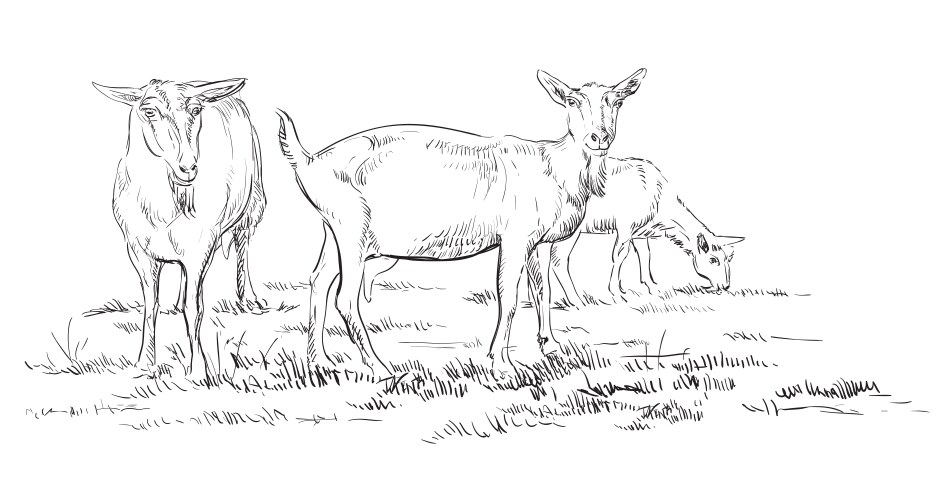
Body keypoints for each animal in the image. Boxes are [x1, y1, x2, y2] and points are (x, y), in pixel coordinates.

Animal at [93, 78, 266, 379]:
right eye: (149, 111)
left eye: (196, 110)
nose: (188, 167)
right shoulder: (138, 250)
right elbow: (151, 305)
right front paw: (145, 362)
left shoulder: (202, 247)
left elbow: (194, 308)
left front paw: (197, 368)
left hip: (252, 200)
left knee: (243, 243)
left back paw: (248, 299)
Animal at [276, 69, 646, 376]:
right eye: (572, 100)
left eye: (618, 101)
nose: (599, 137)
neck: (554, 167)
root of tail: (308, 161)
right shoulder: (514, 237)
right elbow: (508, 297)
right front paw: (501, 363)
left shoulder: (539, 242)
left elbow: (542, 290)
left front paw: (550, 346)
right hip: (352, 229)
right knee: (345, 297)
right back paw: (379, 368)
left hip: (334, 230)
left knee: (319, 280)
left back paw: (319, 360)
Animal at [550, 157, 742, 303]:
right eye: (713, 260)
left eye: (729, 258)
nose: (726, 286)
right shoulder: (625, 227)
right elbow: (619, 256)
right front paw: (616, 291)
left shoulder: (640, 233)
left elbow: (645, 255)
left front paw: (652, 286)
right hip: (570, 227)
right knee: (559, 259)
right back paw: (576, 299)